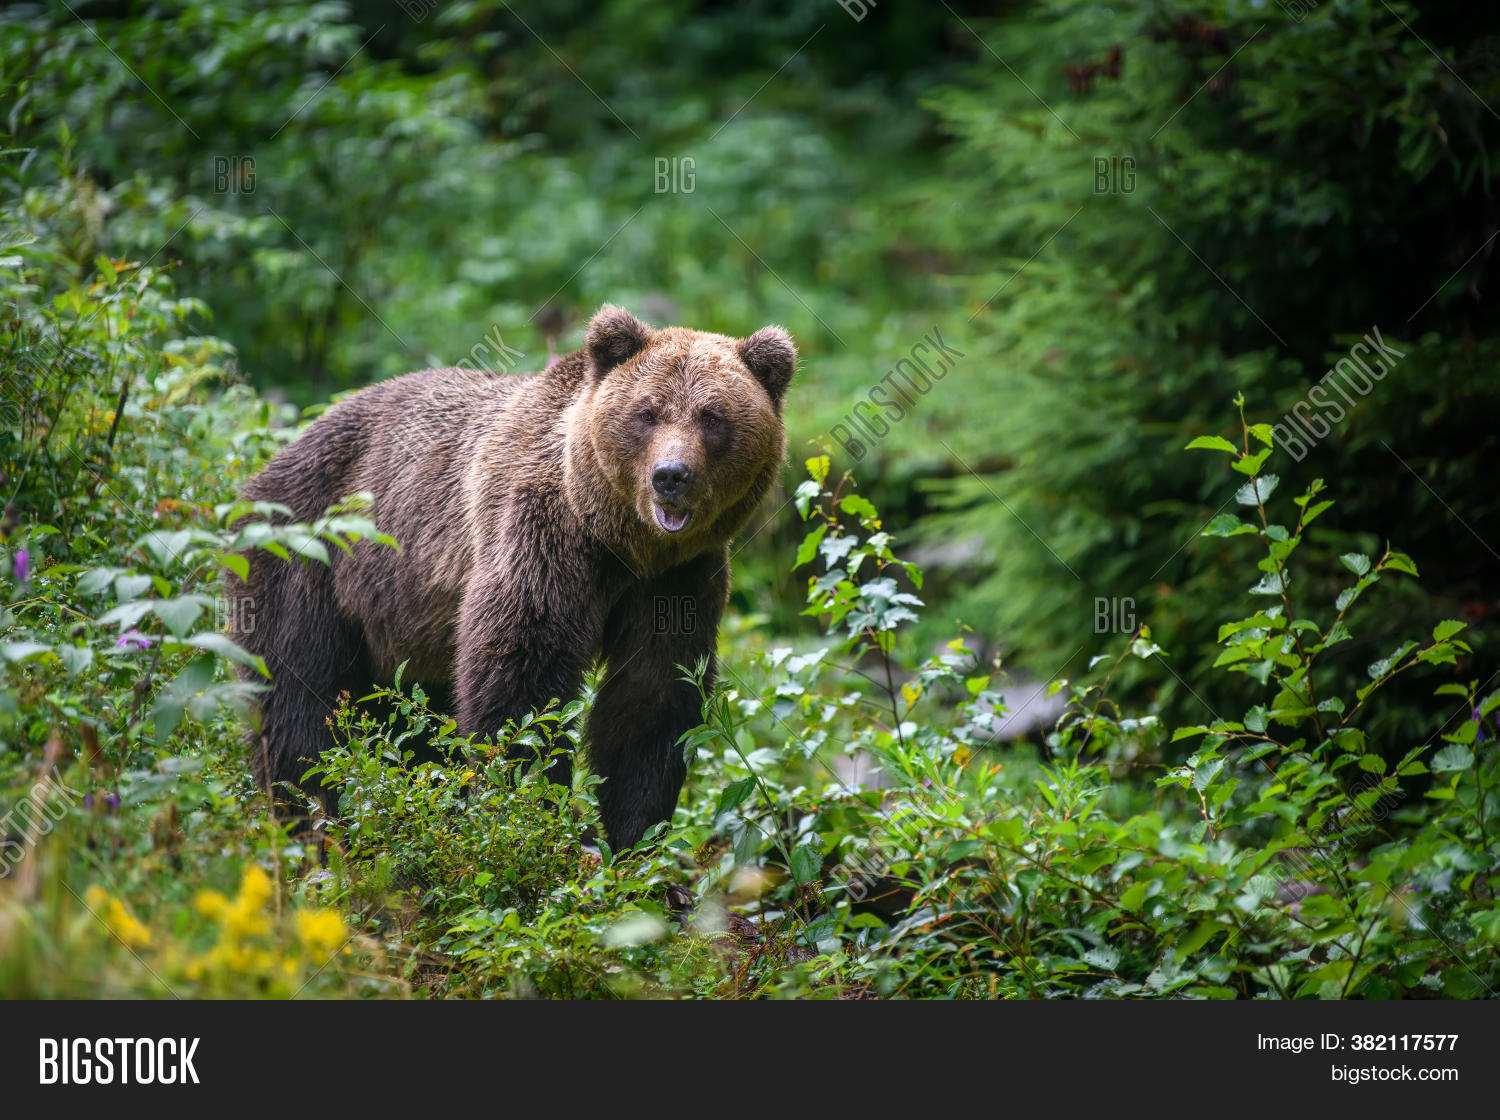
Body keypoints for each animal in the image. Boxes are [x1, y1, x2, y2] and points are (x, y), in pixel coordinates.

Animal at [226, 305, 796, 850]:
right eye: (648, 412)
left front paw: (632, 838)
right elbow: (523, 679)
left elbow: (651, 695)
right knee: (300, 706)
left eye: (712, 416)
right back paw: (318, 824)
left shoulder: (678, 579)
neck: (624, 543)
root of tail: (267, 468)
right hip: (310, 559)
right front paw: (537, 816)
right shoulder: (541, 537)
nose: (671, 476)